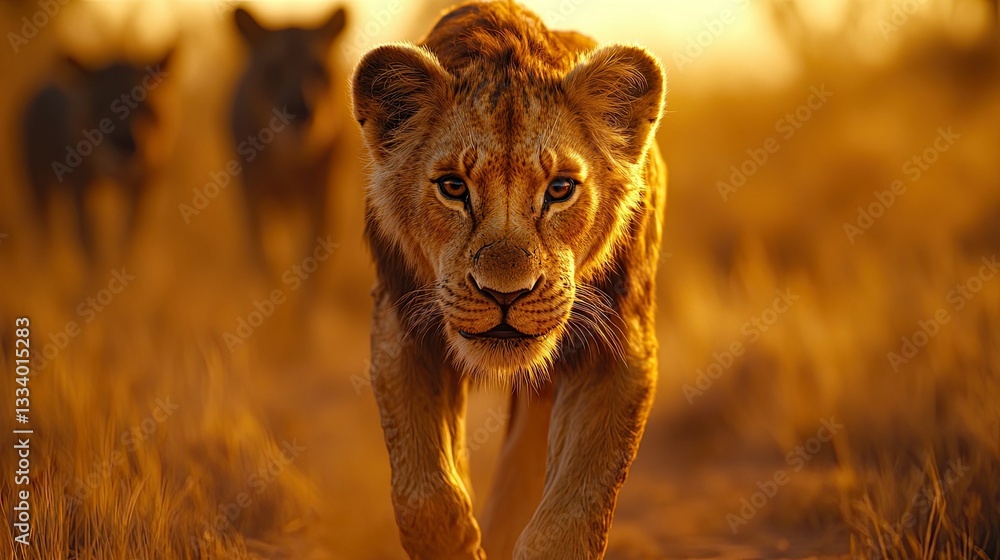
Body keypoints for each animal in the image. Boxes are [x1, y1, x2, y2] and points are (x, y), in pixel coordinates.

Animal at [351, 2, 667, 558]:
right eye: (453, 187)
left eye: (560, 189)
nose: (506, 294)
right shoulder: (400, 324)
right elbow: (423, 496)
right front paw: (459, 543)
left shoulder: (619, 349)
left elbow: (571, 517)